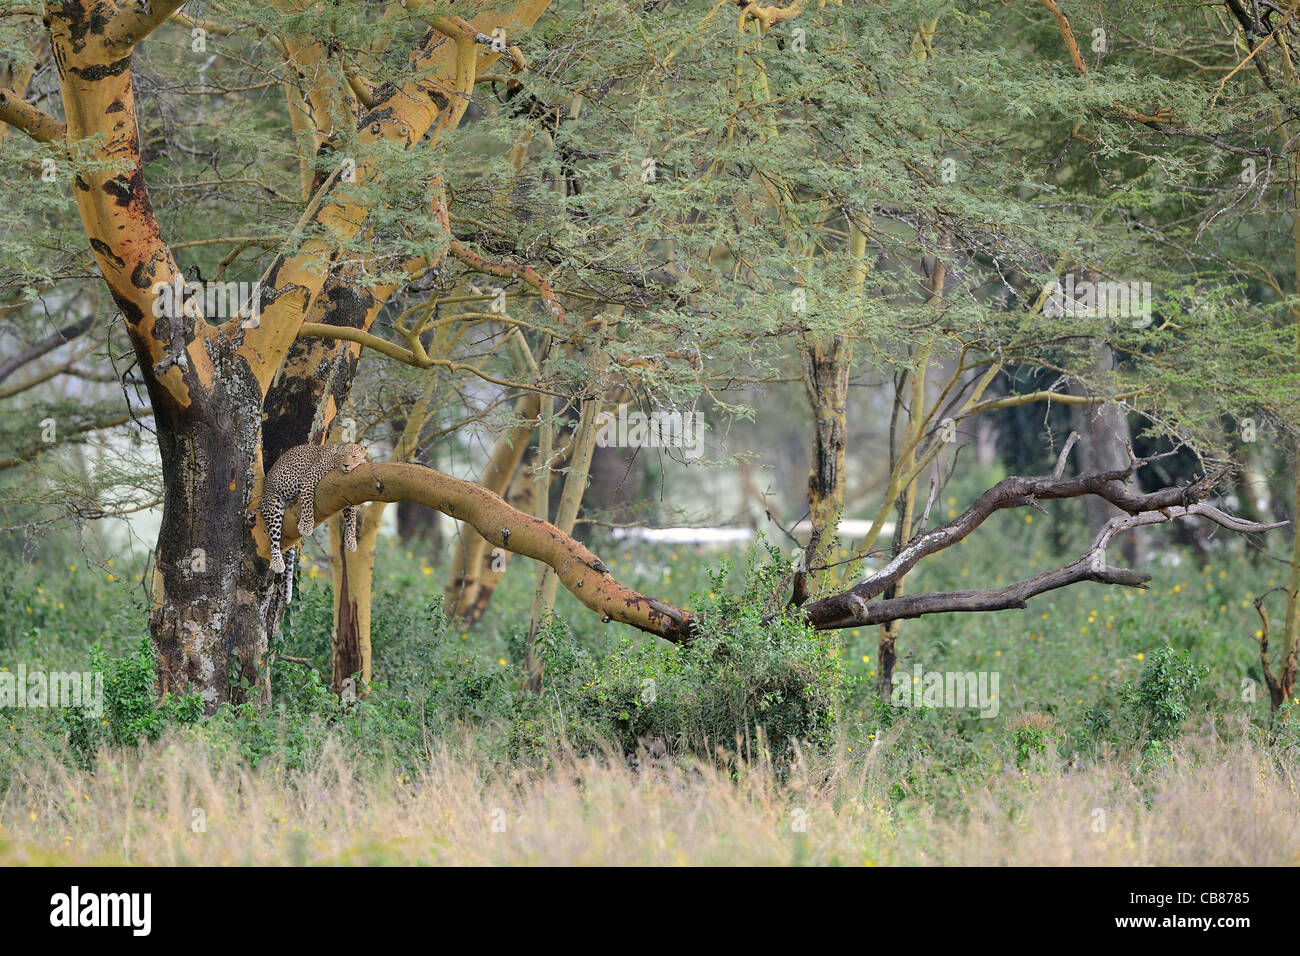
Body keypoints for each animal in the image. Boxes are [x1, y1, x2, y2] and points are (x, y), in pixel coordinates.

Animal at [260, 442, 371, 575]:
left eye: (354, 456)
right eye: (343, 455)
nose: (346, 465)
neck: (335, 461)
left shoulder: (345, 494)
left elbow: (352, 519)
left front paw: (351, 541)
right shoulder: (309, 480)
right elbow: (307, 503)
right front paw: (306, 526)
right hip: (273, 506)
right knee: (273, 539)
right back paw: (278, 563)